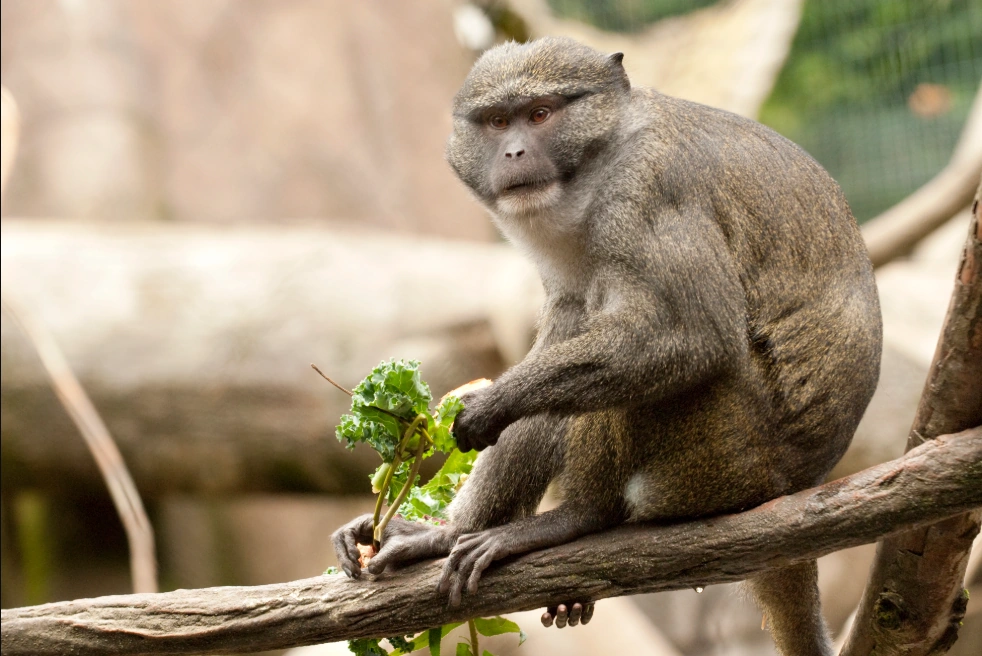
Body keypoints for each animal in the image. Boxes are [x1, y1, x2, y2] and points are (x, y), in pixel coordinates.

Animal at [332, 37, 881, 656]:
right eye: (497, 121)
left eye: (541, 114)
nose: (515, 151)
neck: (596, 169)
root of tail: (794, 484)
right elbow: (565, 335)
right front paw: (444, 527)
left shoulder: (650, 193)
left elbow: (697, 336)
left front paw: (495, 402)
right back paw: (455, 534)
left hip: (726, 453)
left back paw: (576, 518)